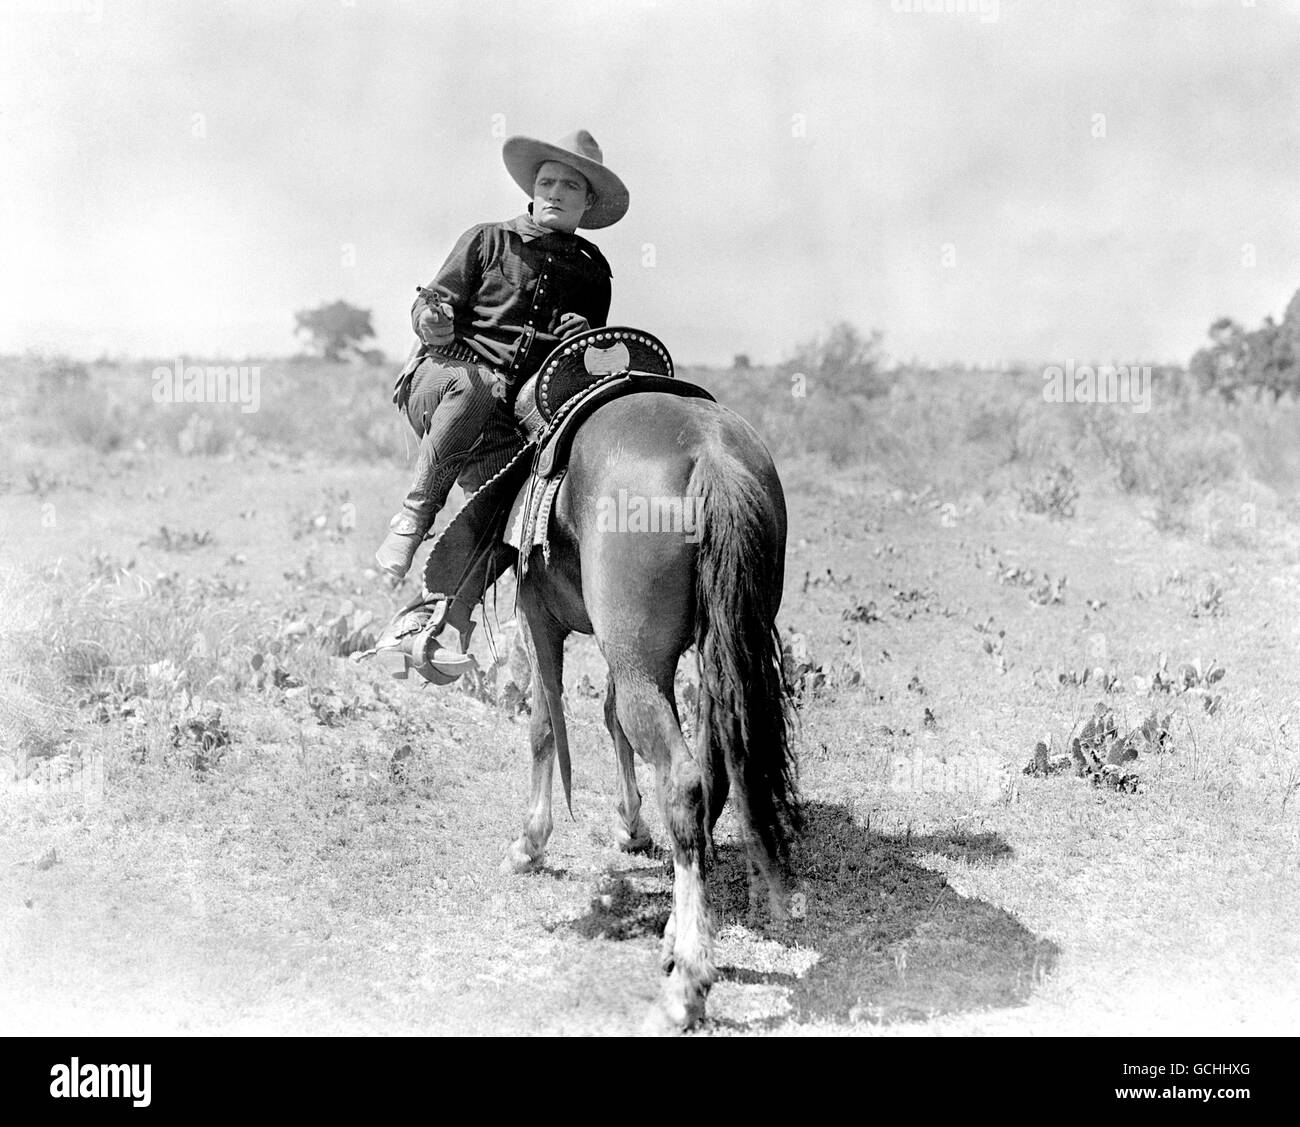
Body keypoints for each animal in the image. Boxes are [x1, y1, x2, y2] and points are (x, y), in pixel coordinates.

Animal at [499, 389, 800, 1031]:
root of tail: (712, 454)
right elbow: (610, 719)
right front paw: (631, 825)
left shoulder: (538, 618)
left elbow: (543, 724)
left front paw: (531, 842)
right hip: (716, 654)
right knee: (713, 772)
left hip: (641, 658)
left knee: (684, 780)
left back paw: (687, 982)